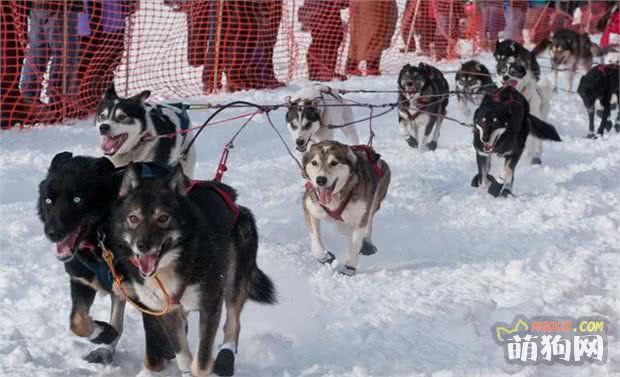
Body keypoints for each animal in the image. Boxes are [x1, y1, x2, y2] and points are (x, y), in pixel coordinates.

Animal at [37, 152, 173, 368]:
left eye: (77, 199)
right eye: (48, 200)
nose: (53, 233)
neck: (101, 239)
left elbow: (156, 344)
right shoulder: (81, 281)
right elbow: (77, 322)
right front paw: (104, 333)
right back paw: (107, 348)